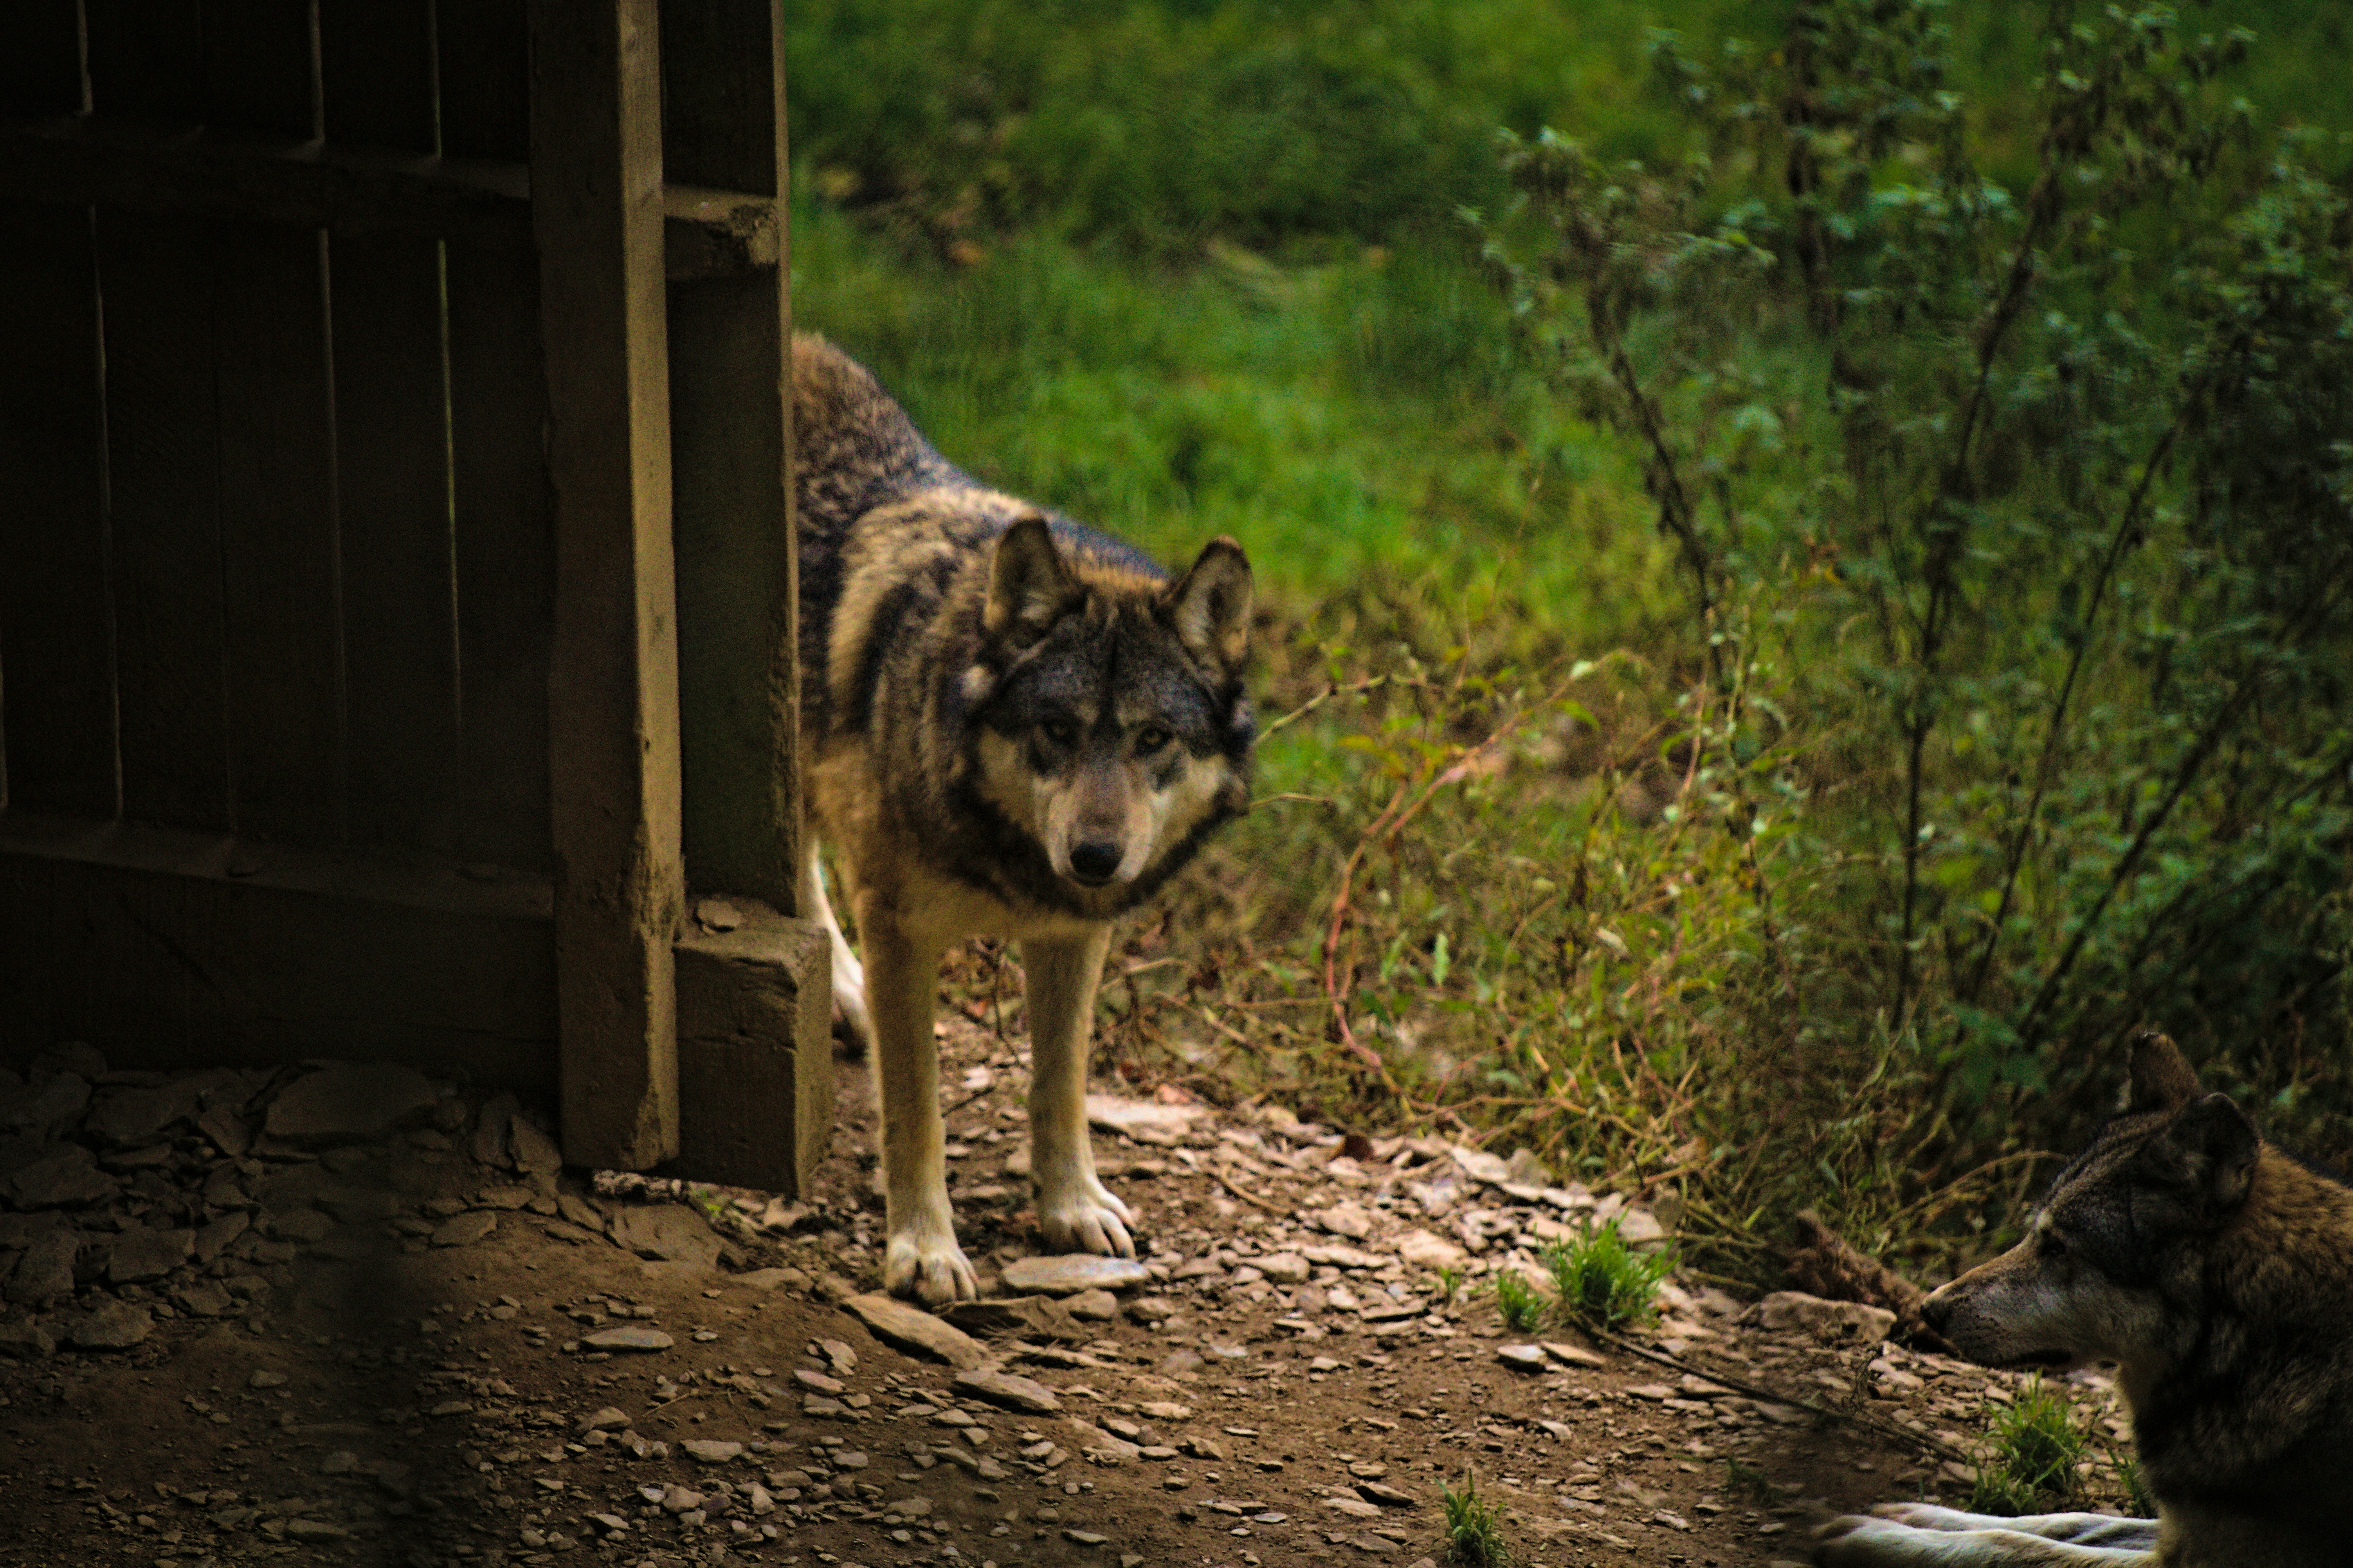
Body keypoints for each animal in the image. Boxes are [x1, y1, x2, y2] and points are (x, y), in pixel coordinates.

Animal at [791, 333, 1254, 1304]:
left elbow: (1061, 1085)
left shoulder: (1074, 933)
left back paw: (840, 989)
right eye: (1058, 729)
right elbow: (917, 1112)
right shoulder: (905, 934)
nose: (1096, 856)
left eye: (1154, 737)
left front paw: (1071, 1206)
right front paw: (925, 1249)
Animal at [1814, 1032, 2353, 1567]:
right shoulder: (2174, 1529)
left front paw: (1877, 1537)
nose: (1931, 1309)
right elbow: (2063, 1519)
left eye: (2057, 1247)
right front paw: (1920, 1515)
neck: (2244, 1347)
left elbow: (2017, 1544)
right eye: (2036, 1234)